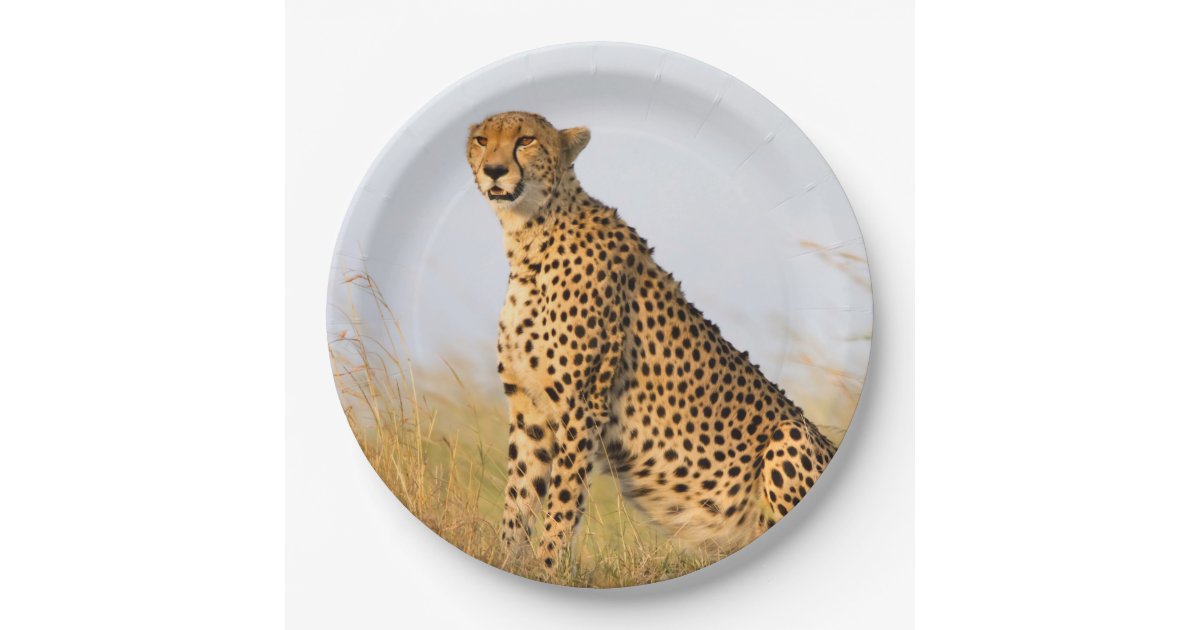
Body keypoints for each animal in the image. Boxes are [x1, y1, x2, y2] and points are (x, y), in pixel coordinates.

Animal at [465, 111, 838, 572]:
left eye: (526, 140)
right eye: (482, 140)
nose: (494, 170)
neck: (530, 236)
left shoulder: (581, 405)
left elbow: (563, 501)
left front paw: (550, 568)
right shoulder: (529, 410)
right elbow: (518, 499)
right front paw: (508, 562)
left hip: (789, 435)